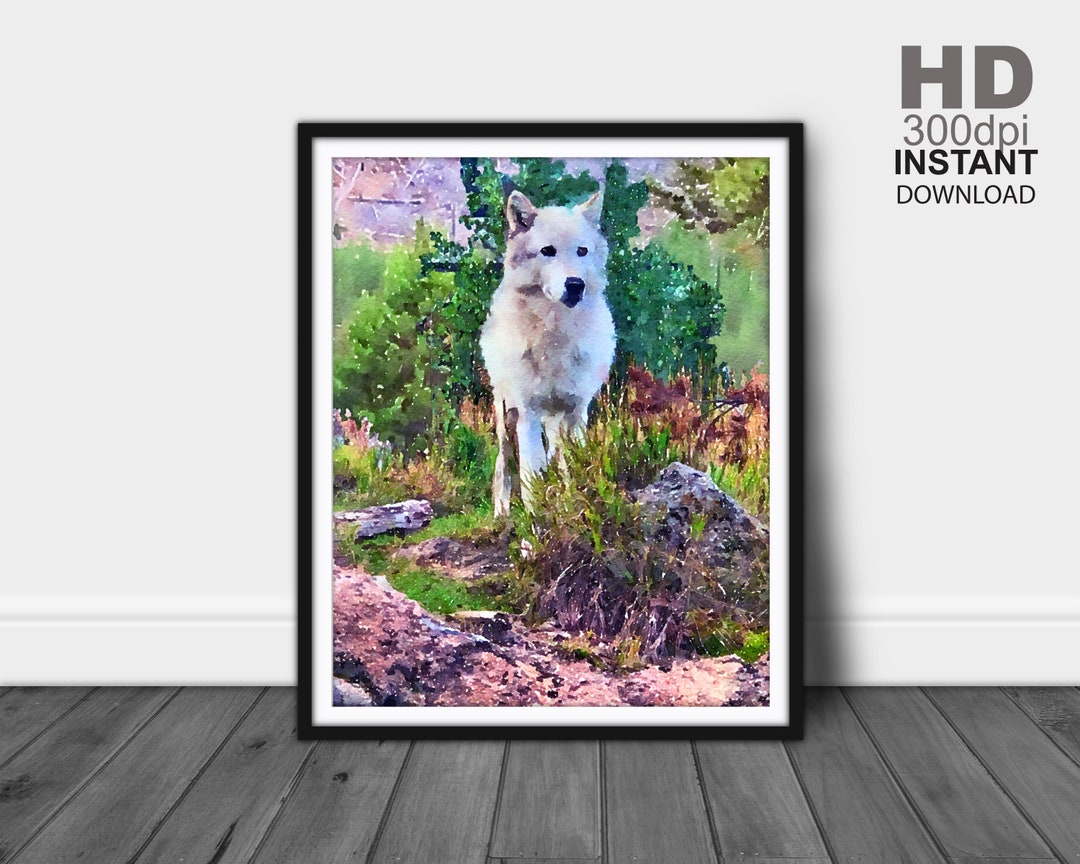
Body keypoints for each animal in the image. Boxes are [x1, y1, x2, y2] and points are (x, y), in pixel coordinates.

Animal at [480, 189, 616, 515]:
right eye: (547, 251)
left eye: (582, 251)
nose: (575, 285)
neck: (555, 335)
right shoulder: (528, 414)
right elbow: (531, 474)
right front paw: (535, 518)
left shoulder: (576, 412)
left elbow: (572, 466)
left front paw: (575, 504)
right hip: (506, 412)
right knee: (505, 463)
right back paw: (502, 512)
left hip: (555, 420)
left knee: (556, 452)